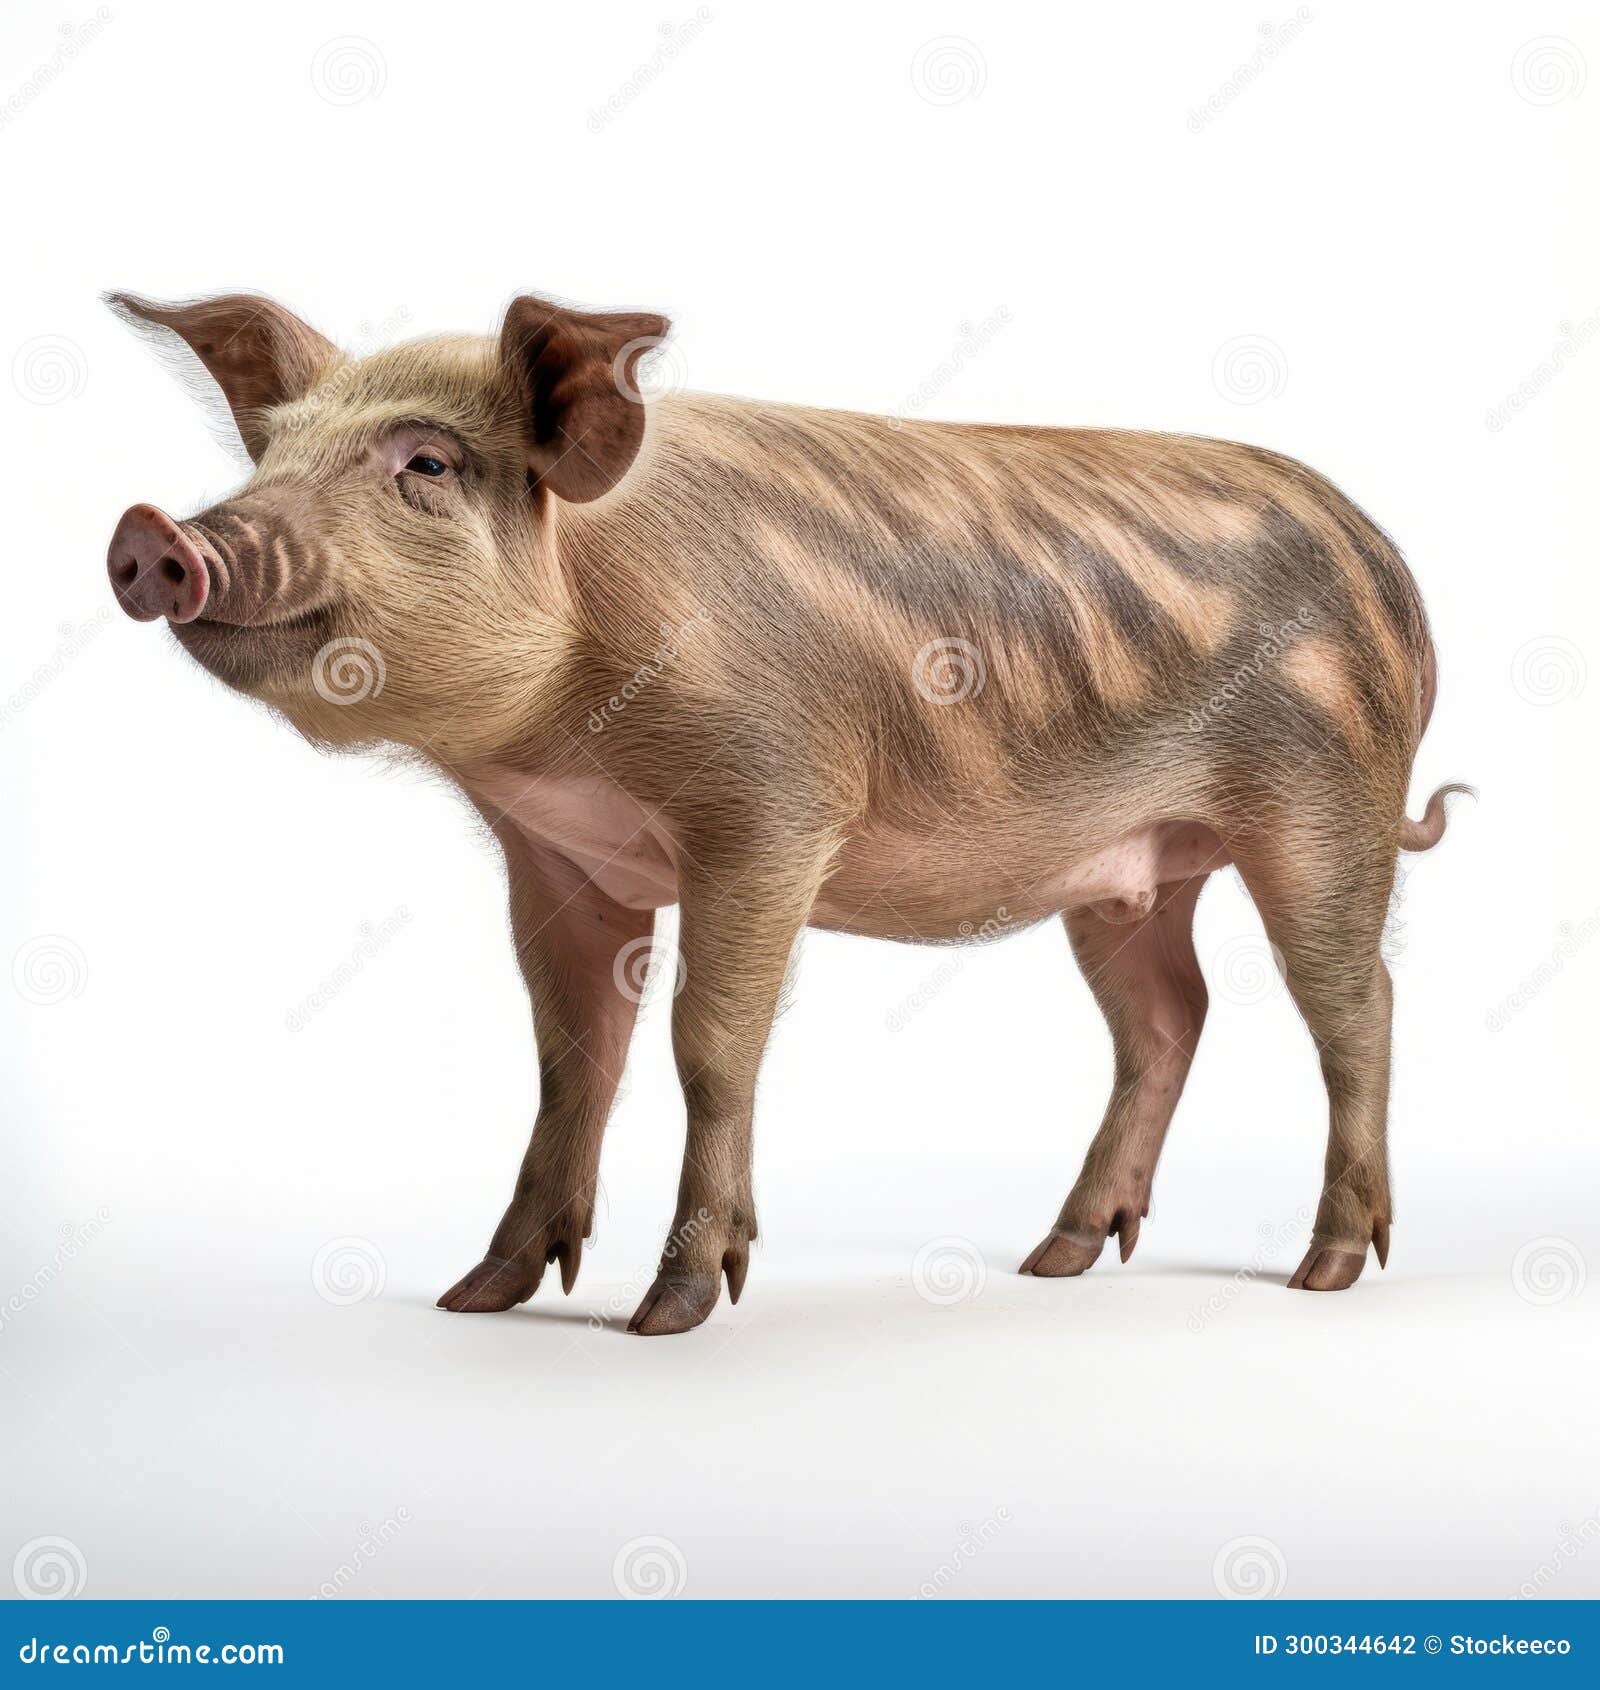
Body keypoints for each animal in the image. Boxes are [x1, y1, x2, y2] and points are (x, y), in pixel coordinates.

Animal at [105, 290, 1465, 1334]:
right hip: (1131, 868)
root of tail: (1393, 577)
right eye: (268, 453)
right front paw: (476, 1296)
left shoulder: (769, 811)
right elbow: (569, 1057)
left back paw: (1321, 1271)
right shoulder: (557, 853)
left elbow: (708, 1042)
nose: (155, 531)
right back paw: (1056, 1258)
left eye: (426, 464)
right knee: (1169, 1016)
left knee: (1357, 1004)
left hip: (1323, 801)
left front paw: (666, 1315)